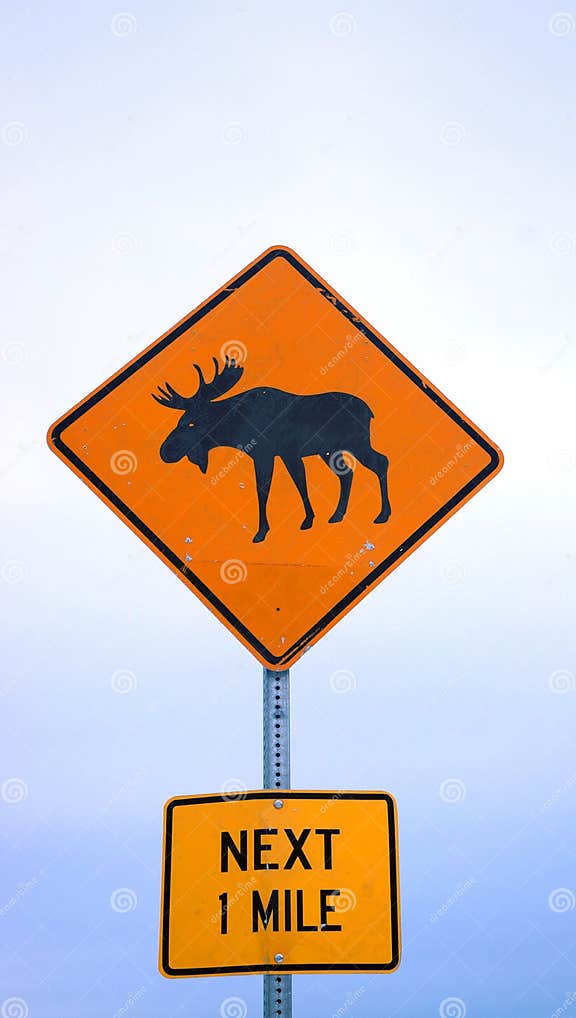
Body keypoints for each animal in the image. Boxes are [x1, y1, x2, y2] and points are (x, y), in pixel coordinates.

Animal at [152, 355, 391, 544]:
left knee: (381, 462)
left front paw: (261, 532)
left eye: (191, 423)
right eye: (179, 421)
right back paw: (337, 515)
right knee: (348, 473)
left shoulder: (265, 454)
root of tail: (370, 411)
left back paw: (382, 515)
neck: (235, 429)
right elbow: (299, 482)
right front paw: (309, 519)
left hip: (357, 443)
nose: (165, 450)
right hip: (331, 451)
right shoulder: (287, 453)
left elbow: (264, 489)